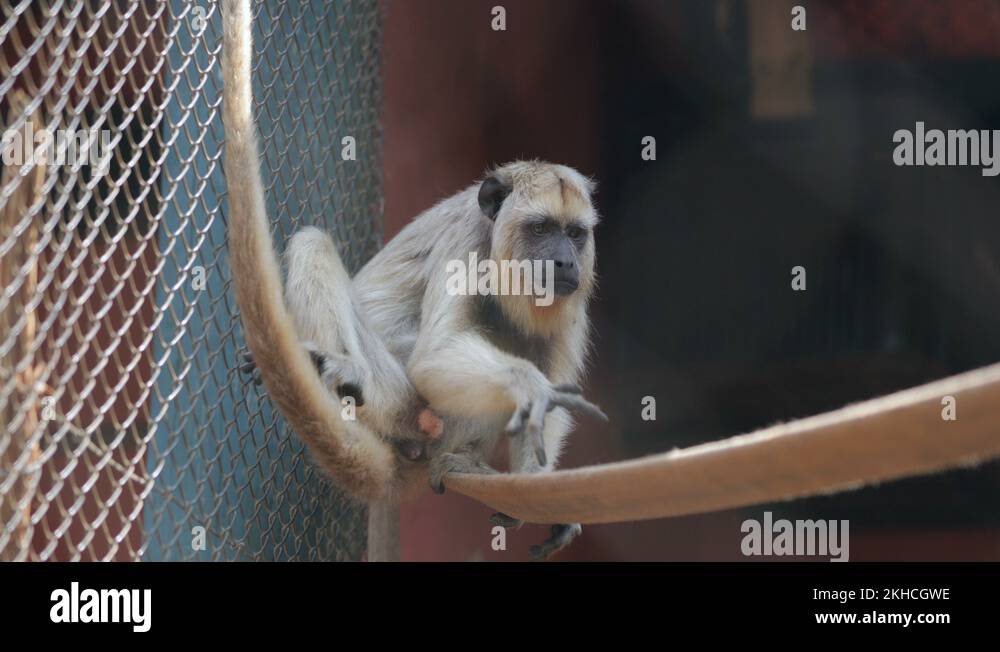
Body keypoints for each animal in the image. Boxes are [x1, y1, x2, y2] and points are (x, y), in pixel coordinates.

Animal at [221, 0, 605, 558]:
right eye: (540, 229)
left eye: (575, 235)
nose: (563, 262)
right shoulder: (467, 244)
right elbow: (438, 356)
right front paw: (527, 386)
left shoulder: (577, 300)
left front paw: (539, 483)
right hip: (400, 401)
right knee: (314, 245)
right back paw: (353, 376)